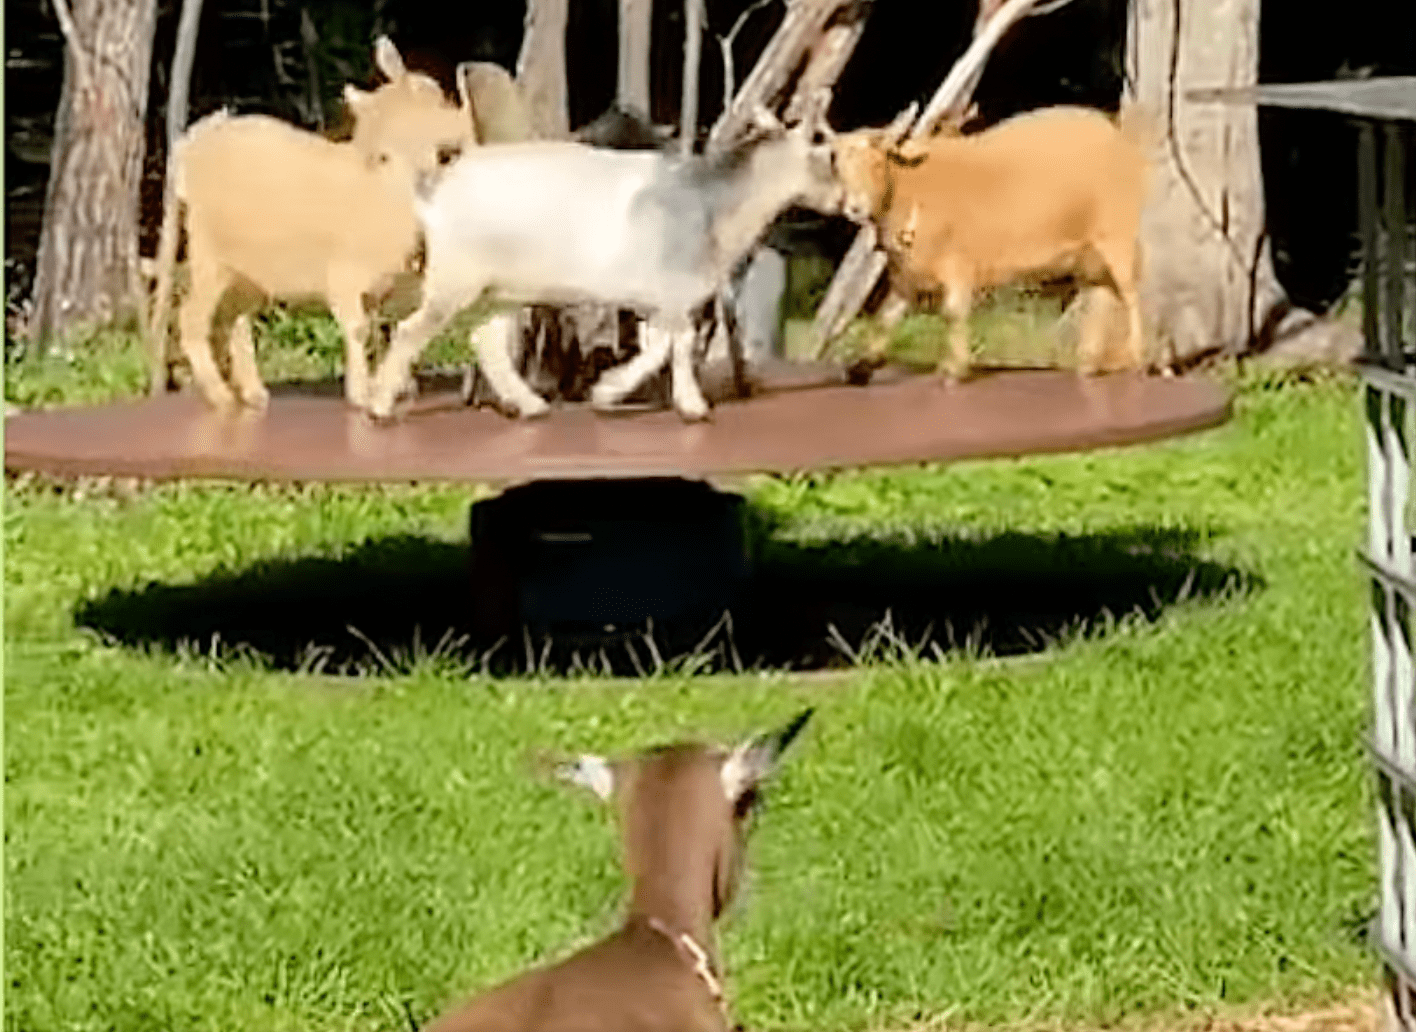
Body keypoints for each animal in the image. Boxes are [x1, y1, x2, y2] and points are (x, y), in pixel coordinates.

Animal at [145, 37, 477, 411]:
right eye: (435, 94)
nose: (467, 123)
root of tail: (188, 149)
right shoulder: (345, 276)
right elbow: (359, 329)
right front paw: (362, 394)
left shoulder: (382, 287)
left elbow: (385, 330)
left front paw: (394, 385)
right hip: (209, 254)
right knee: (192, 319)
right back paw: (221, 396)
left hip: (248, 273)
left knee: (235, 319)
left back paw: (253, 393)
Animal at [365, 109, 843, 423]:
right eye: (829, 152)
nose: (843, 202)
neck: (708, 200)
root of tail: (434, 191)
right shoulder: (673, 292)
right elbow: (677, 344)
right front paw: (685, 405)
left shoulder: (659, 300)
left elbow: (663, 345)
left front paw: (615, 393)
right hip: (456, 280)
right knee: (411, 330)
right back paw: (380, 406)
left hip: (501, 290)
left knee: (487, 340)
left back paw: (530, 406)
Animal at [830, 104, 1153, 382]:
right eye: (838, 167)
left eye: (876, 163)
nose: (854, 208)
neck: (912, 183)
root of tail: (1116, 134)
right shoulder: (907, 272)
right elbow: (886, 316)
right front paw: (862, 366)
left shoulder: (959, 261)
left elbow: (953, 312)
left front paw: (954, 368)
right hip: (1086, 251)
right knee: (1100, 294)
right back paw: (1089, 362)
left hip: (1117, 233)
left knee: (1130, 292)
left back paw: (1137, 357)